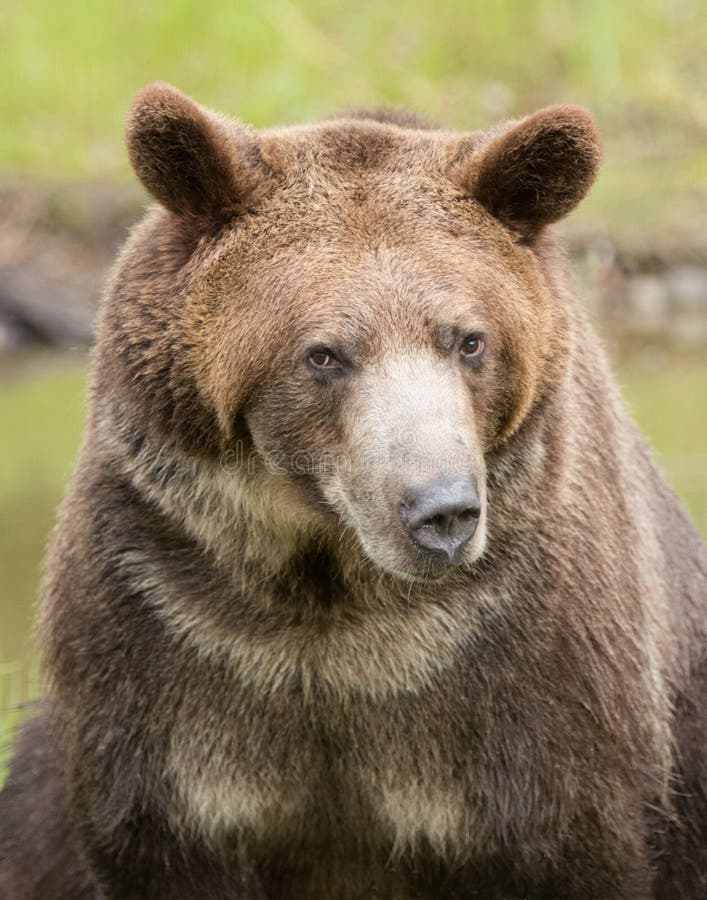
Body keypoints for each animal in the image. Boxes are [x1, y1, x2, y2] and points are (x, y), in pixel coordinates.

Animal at [0, 82, 705, 900]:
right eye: (324, 354)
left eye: (469, 339)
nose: (441, 511)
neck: (332, 582)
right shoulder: (170, 640)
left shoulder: (530, 672)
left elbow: (569, 832)